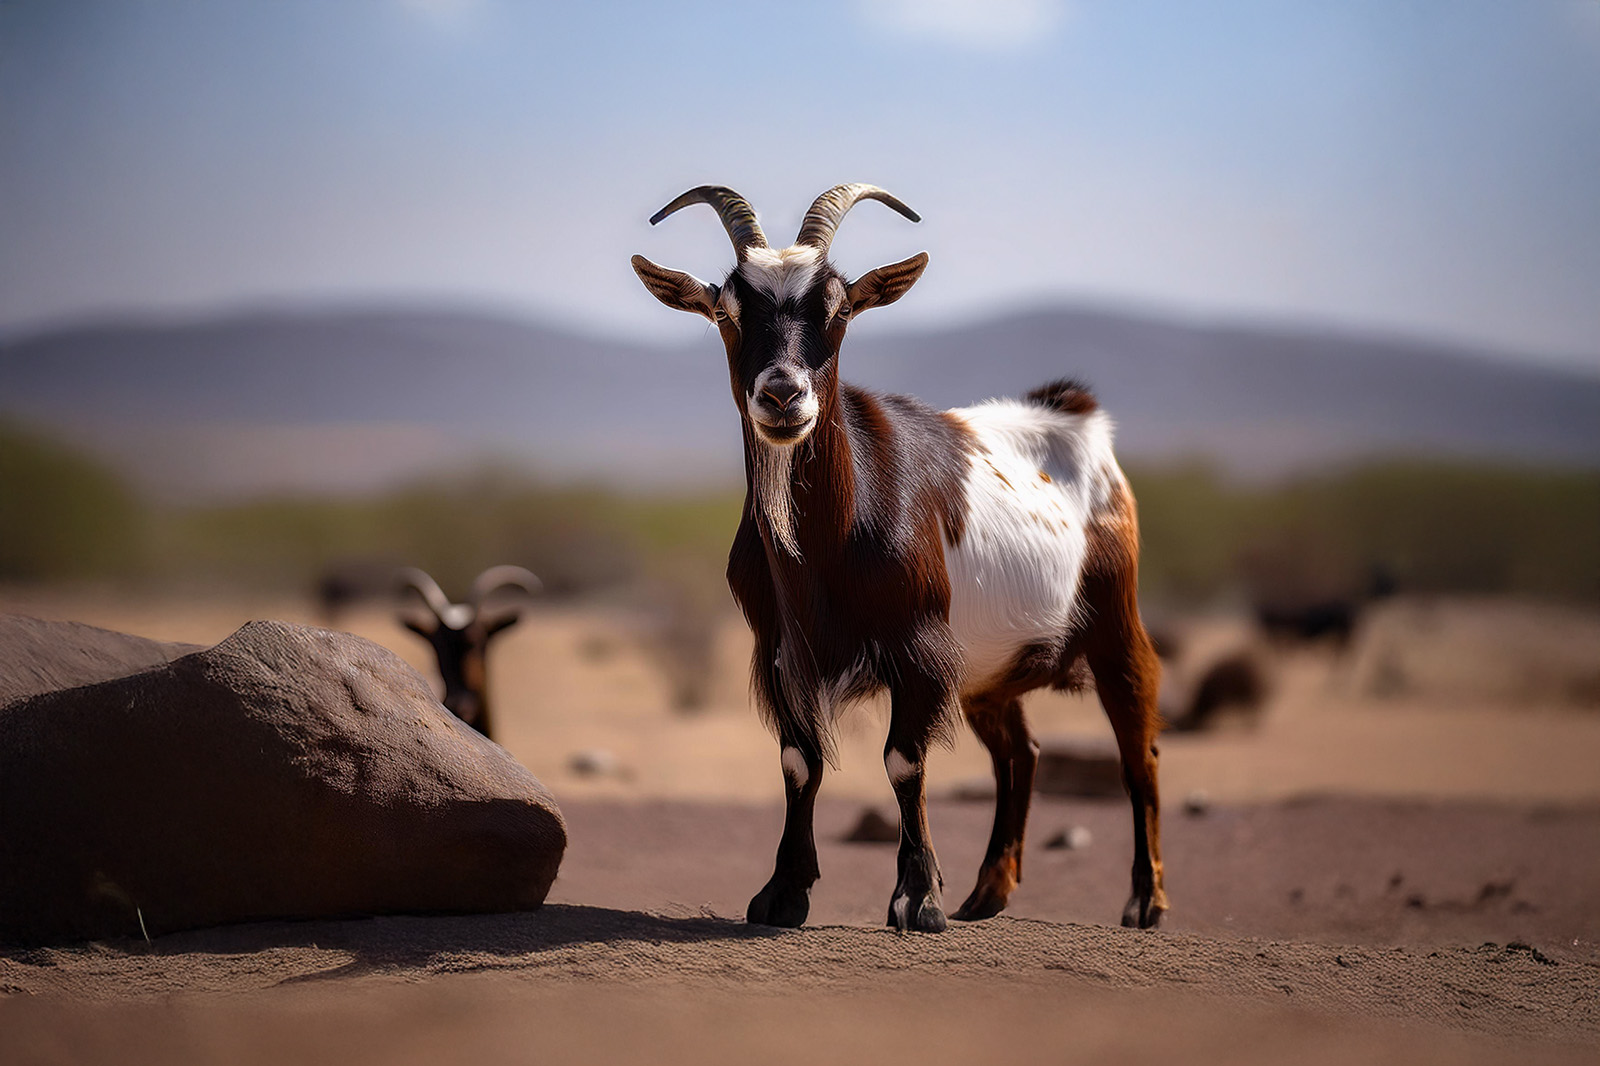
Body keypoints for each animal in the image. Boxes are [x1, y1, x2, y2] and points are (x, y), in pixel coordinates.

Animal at [632, 184, 1166, 932]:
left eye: (839, 309)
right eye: (725, 313)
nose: (782, 396)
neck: (825, 550)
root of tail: (1075, 413)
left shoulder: (917, 648)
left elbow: (904, 763)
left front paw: (917, 899)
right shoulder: (780, 652)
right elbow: (798, 762)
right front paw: (783, 892)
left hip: (1116, 621)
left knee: (1137, 746)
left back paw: (1145, 901)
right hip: (986, 669)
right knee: (1020, 754)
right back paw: (988, 892)